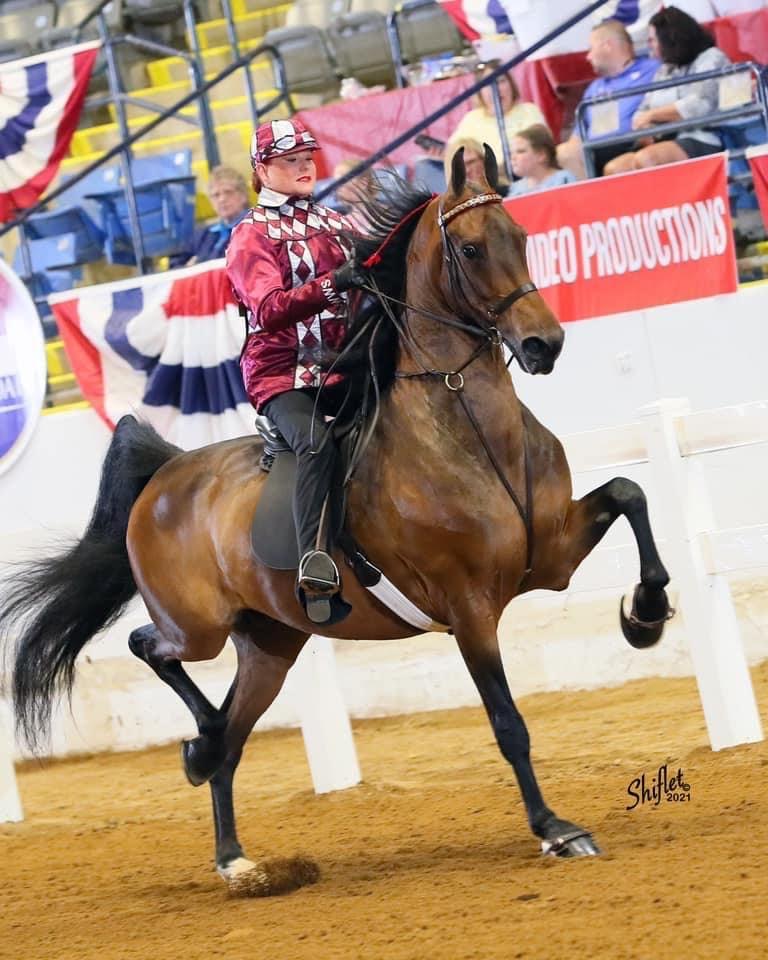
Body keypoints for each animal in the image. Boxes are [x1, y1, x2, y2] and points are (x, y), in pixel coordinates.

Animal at [1, 146, 673, 896]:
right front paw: (556, 829)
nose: (542, 344)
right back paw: (201, 751)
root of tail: (166, 476)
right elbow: (507, 722)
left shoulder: (550, 556)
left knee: (232, 738)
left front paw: (645, 614)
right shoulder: (469, 606)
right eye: (471, 248)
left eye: (520, 236)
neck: (468, 430)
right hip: (198, 628)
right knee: (151, 650)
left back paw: (235, 851)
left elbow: (630, 492)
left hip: (270, 646)